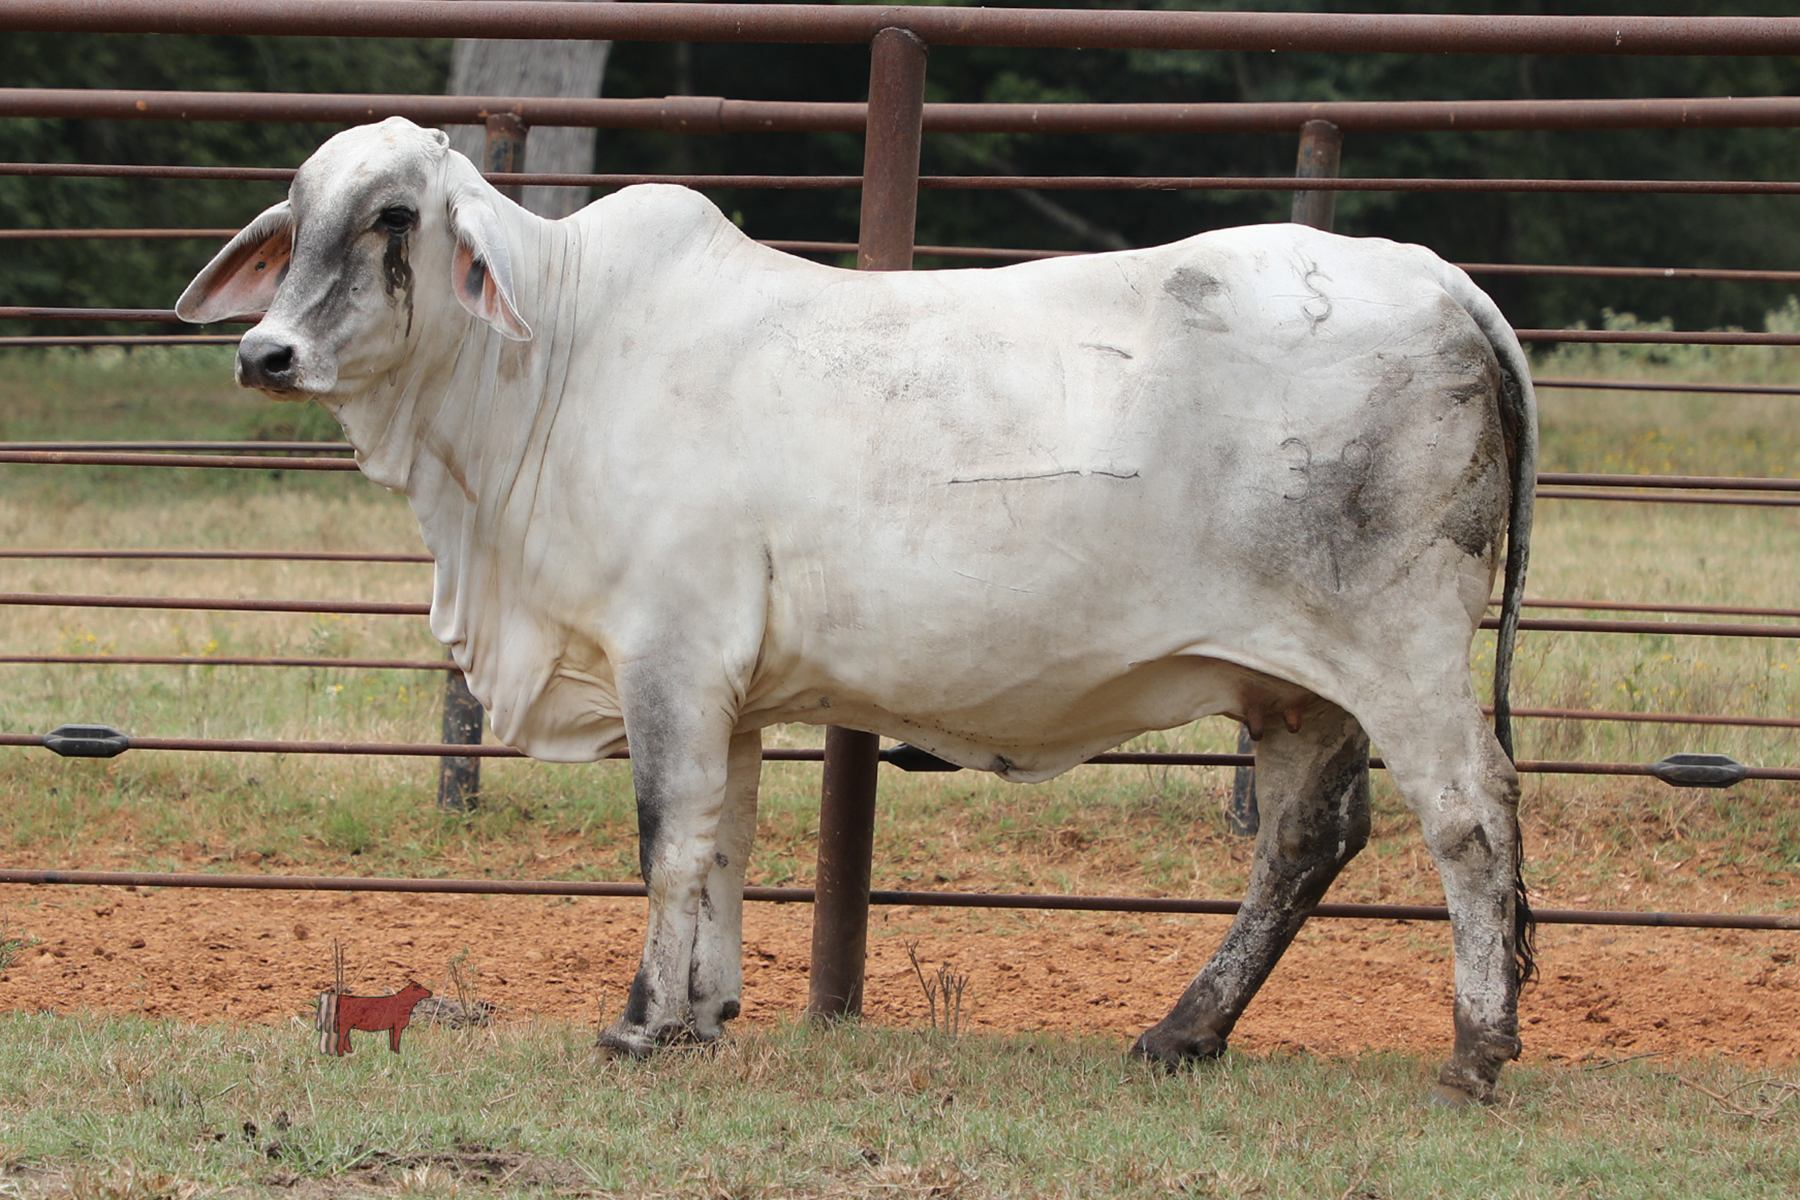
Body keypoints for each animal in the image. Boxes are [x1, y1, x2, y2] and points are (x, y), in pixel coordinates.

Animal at [178, 117, 1538, 1105]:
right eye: (295, 213)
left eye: (395, 216)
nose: (265, 354)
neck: (559, 356)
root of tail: (1438, 279)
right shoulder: (726, 692)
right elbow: (722, 846)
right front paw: (702, 1016)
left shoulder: (667, 658)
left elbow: (666, 838)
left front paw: (636, 1026)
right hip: (1297, 685)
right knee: (1307, 840)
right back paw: (1182, 1033)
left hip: (1401, 651)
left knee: (1470, 820)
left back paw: (1476, 1052)